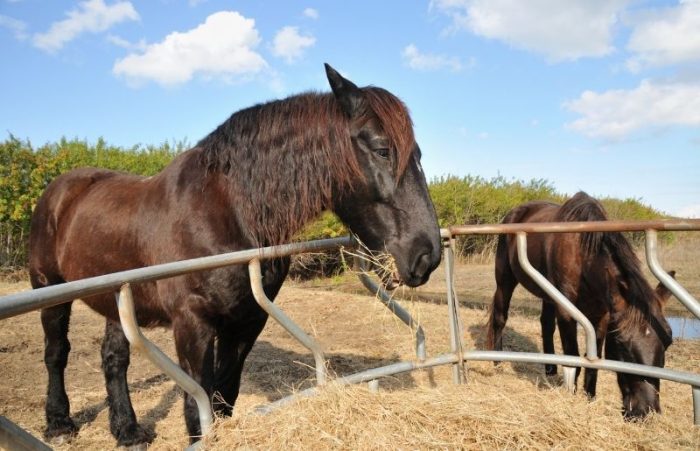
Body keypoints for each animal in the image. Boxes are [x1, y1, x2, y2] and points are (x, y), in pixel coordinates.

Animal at [28, 64, 442, 447]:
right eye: (382, 149)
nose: (427, 255)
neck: (229, 211)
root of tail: (60, 189)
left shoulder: (246, 321)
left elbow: (225, 396)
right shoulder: (192, 323)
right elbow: (197, 407)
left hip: (116, 301)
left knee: (114, 359)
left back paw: (127, 430)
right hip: (49, 289)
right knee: (56, 353)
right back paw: (59, 424)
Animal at [485, 192, 673, 419]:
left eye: (668, 341)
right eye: (623, 345)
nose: (646, 411)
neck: (583, 255)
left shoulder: (602, 315)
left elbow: (594, 358)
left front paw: (589, 396)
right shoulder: (567, 311)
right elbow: (573, 354)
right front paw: (572, 395)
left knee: (546, 325)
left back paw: (550, 370)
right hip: (505, 279)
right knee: (500, 317)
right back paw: (497, 363)